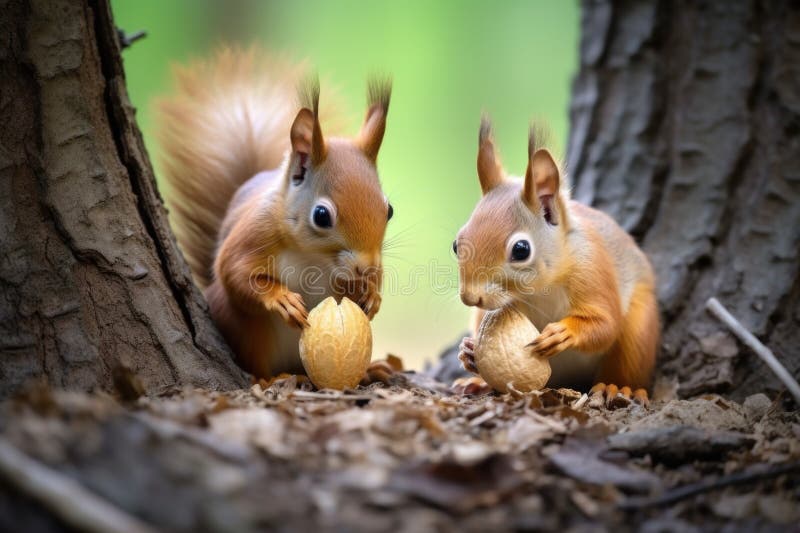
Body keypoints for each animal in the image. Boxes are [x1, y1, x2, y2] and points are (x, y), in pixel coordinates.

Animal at [158, 49, 393, 379]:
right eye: (321, 216)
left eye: (390, 210)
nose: (366, 267)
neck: (314, 257)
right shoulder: (256, 234)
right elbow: (235, 272)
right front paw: (280, 298)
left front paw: (371, 293)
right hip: (248, 329)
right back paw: (271, 379)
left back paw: (372, 369)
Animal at [455, 119, 659, 403]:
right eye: (456, 244)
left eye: (521, 250)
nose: (470, 298)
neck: (540, 289)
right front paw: (469, 351)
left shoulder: (592, 270)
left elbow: (605, 323)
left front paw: (564, 333)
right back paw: (476, 381)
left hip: (638, 329)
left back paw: (617, 387)